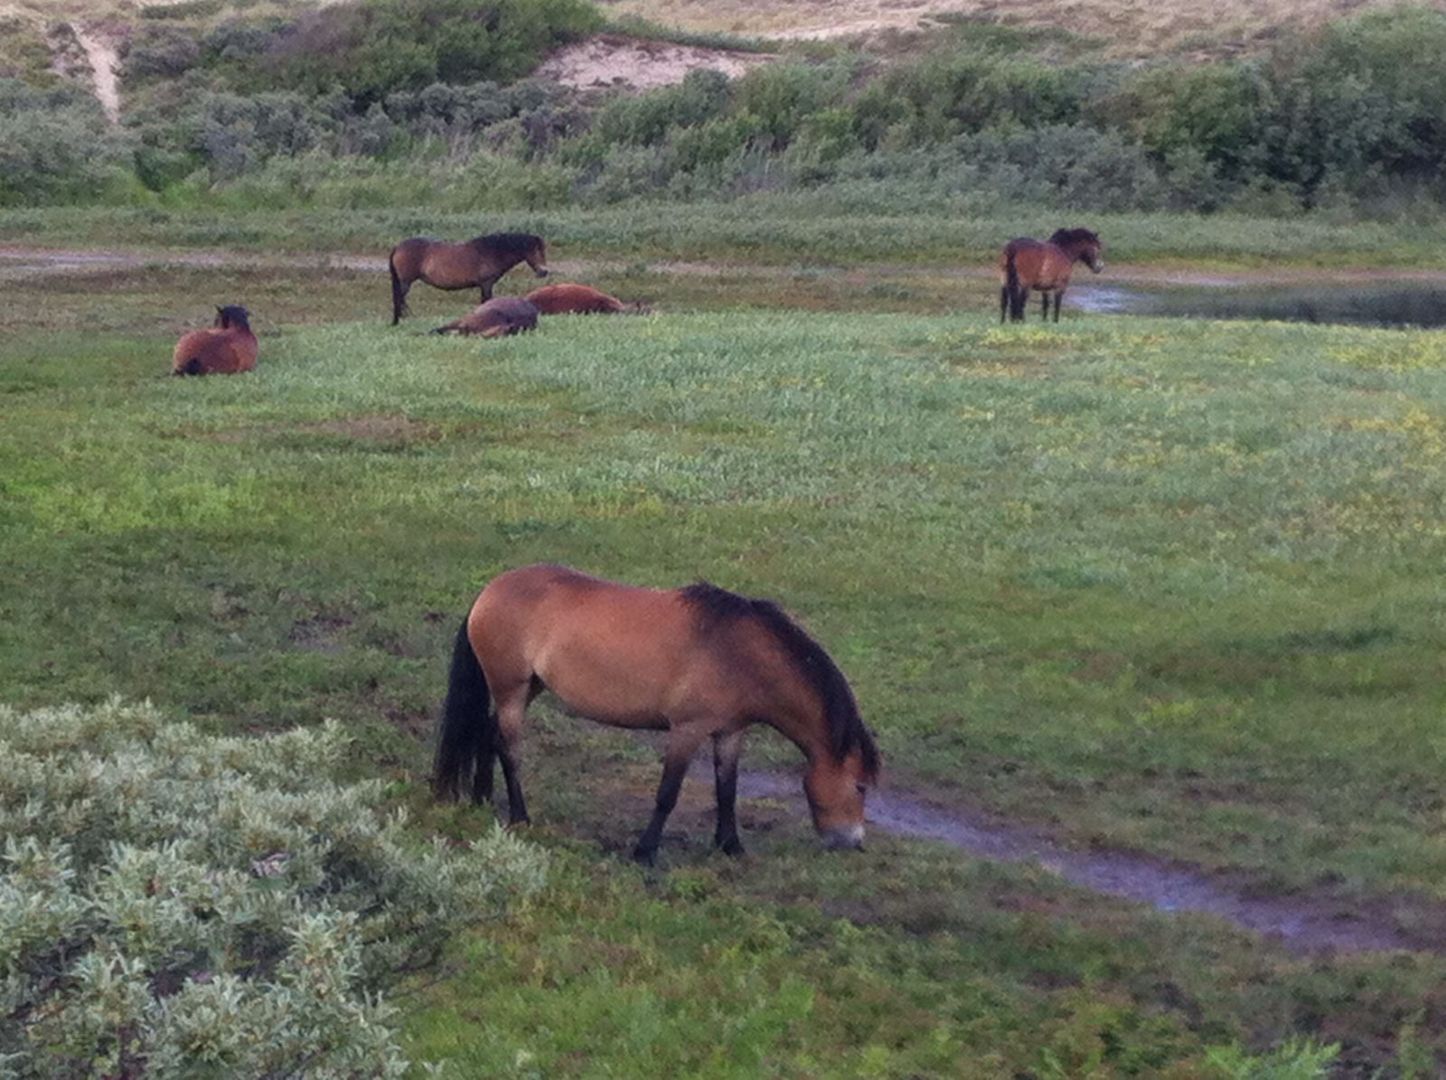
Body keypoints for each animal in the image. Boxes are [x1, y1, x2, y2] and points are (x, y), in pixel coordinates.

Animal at [387, 231, 549, 325]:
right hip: (405, 282)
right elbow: (486, 301)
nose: (544, 272)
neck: (491, 252)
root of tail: (398, 247)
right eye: (536, 251)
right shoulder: (486, 284)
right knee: (399, 299)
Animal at [428, 560, 879, 867]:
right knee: (509, 749)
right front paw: (645, 852)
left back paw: (482, 799)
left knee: (487, 736)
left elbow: (728, 790)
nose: (854, 842)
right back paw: (520, 817)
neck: (738, 651)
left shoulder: (731, 733)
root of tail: (490, 591)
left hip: (524, 690)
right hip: (511, 691)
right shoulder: (686, 731)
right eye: (859, 786)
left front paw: (730, 845)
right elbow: (667, 795)